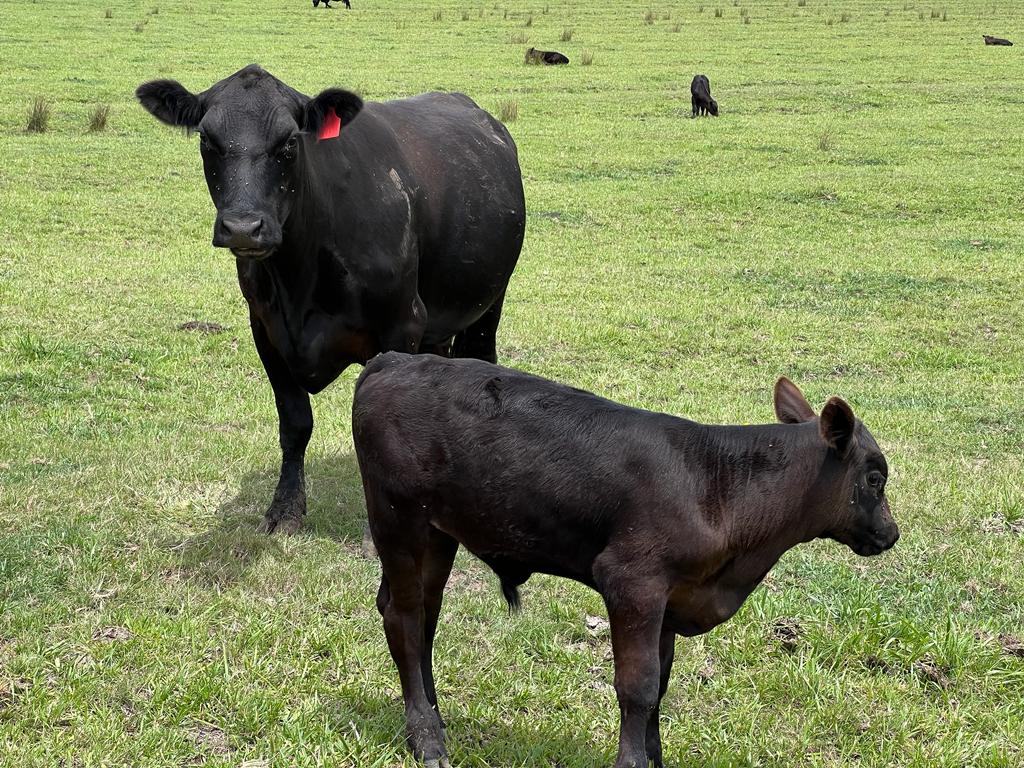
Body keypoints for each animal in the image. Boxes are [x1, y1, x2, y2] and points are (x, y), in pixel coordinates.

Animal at [136, 65, 526, 534]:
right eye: (207, 140)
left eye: (289, 142)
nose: (243, 227)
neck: (299, 281)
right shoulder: (264, 329)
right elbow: (294, 423)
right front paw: (284, 508)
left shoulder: (402, 325)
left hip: (489, 302)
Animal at [353, 353, 899, 768]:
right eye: (875, 478)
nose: (891, 535)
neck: (718, 484)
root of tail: (394, 359)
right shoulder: (633, 583)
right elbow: (638, 686)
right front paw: (633, 761)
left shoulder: (672, 598)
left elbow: (661, 683)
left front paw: (656, 759)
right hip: (397, 521)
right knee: (403, 619)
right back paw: (427, 738)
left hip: (438, 533)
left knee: (425, 618)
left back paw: (434, 718)